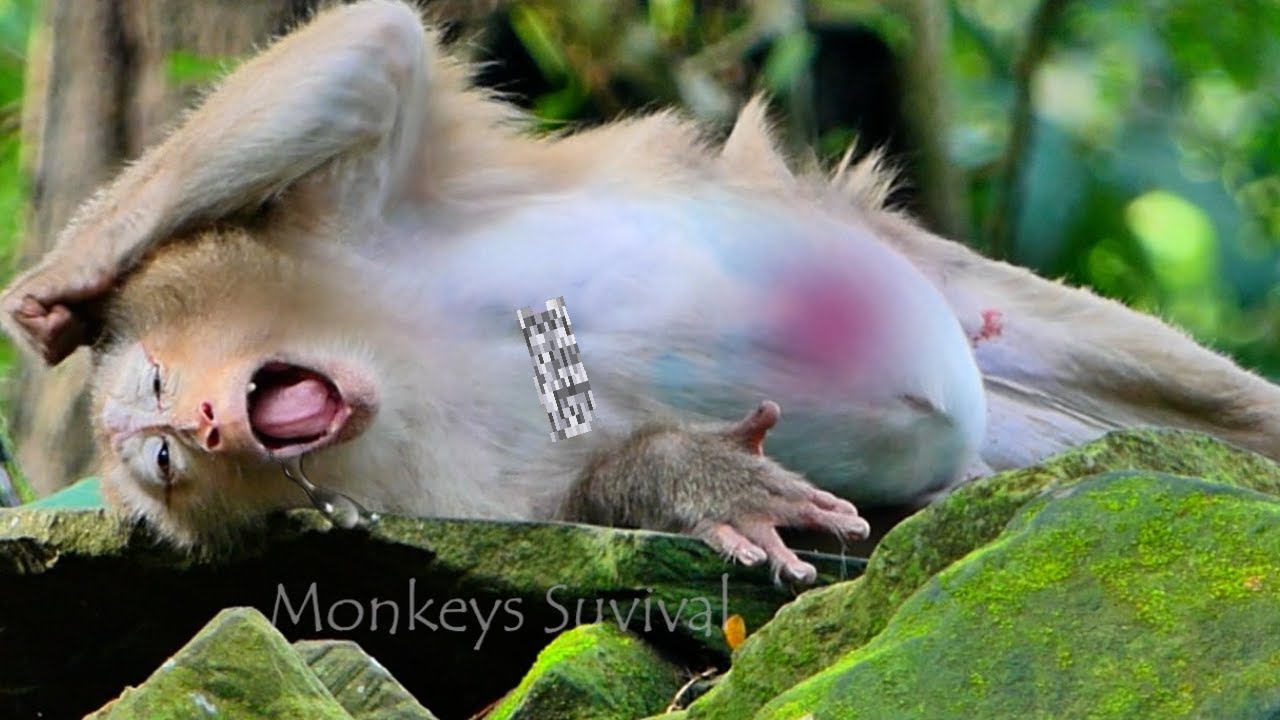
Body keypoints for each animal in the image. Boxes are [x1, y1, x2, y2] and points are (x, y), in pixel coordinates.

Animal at [2, 1, 1278, 582]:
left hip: (950, 283)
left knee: (1207, 399)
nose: (205, 421)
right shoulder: (472, 502)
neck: (395, 364)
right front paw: (699, 486)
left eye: (155, 396)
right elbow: (585, 504)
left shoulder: (348, 224)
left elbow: (374, 54)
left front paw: (71, 278)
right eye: (164, 457)